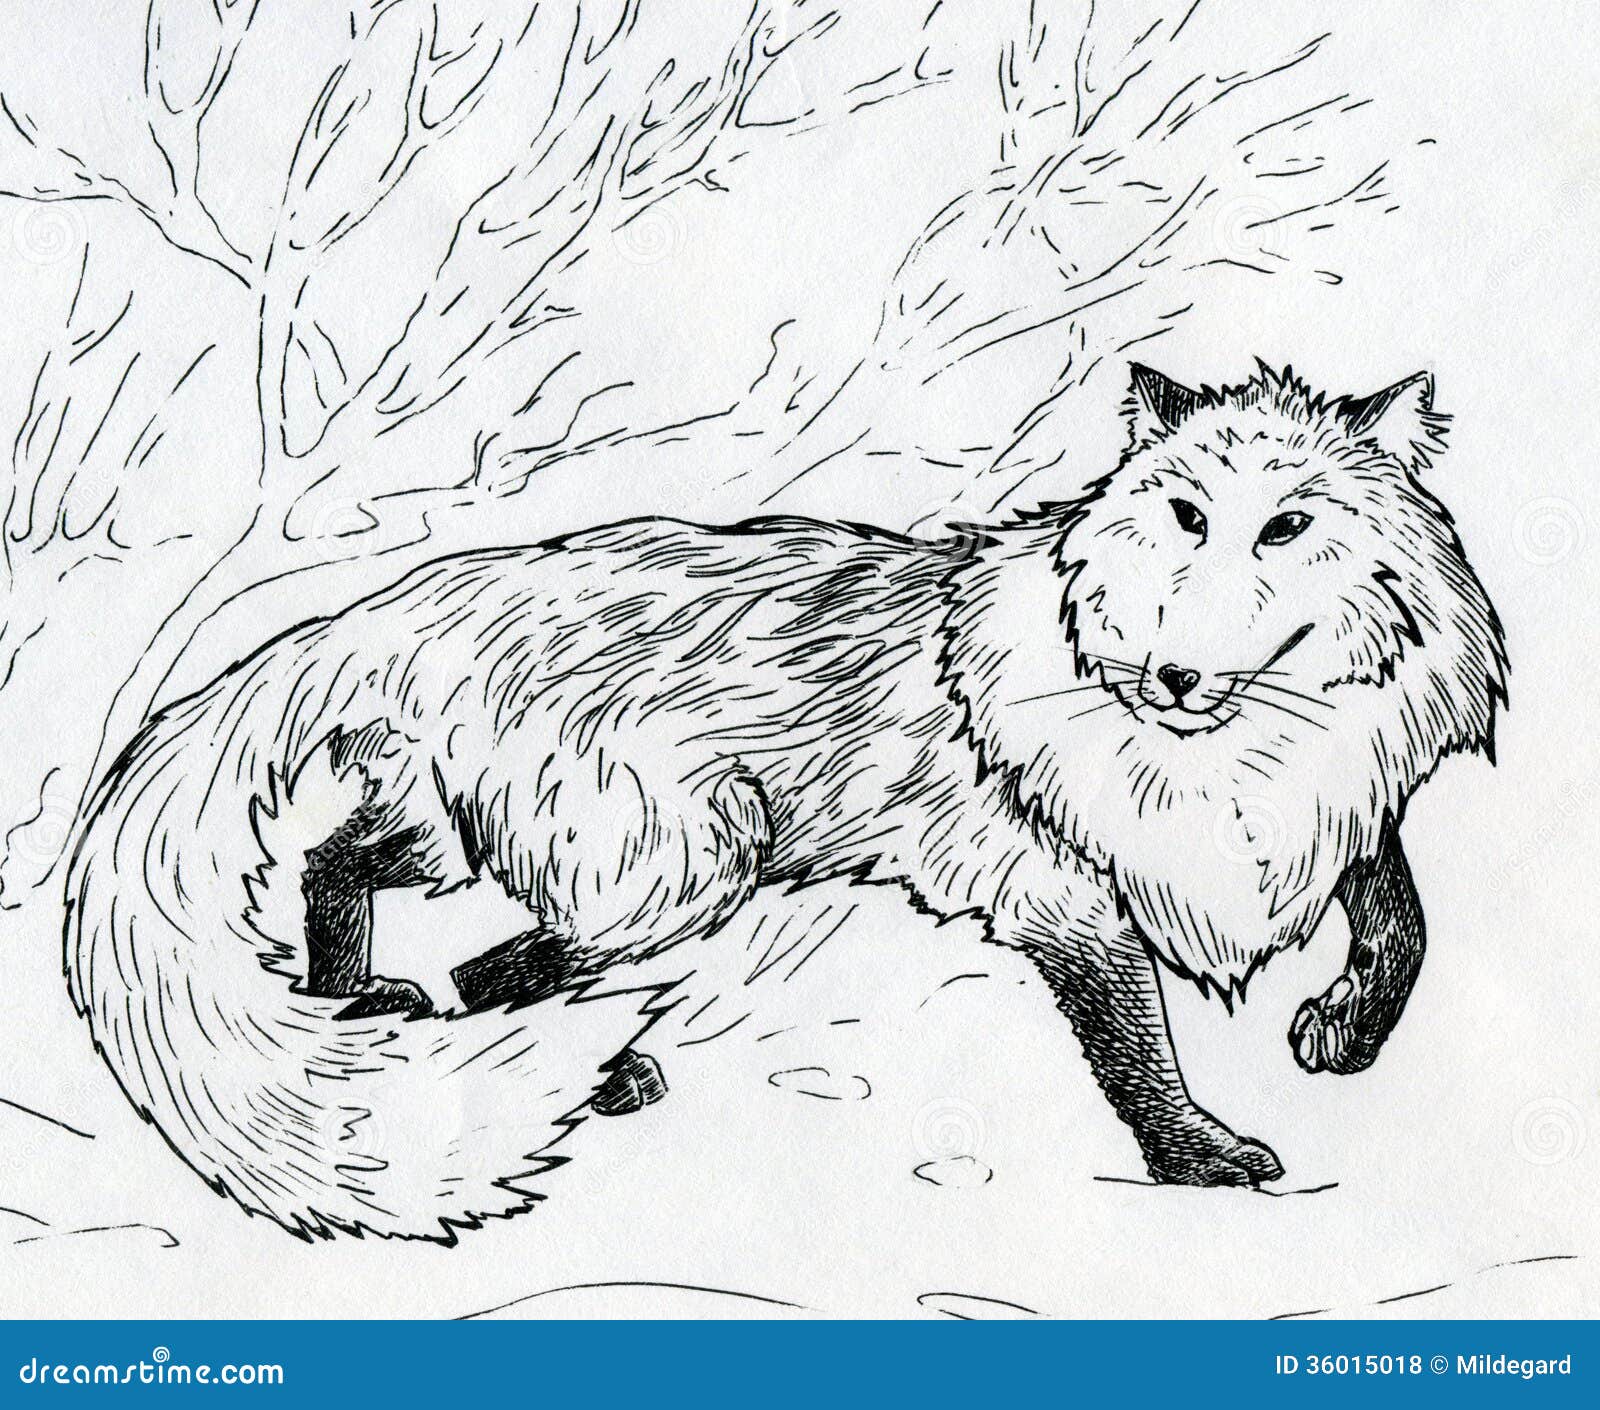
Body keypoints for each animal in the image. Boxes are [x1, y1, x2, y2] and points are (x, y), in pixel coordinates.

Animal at [64, 362, 1507, 1240]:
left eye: (1287, 527)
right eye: (1186, 516)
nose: (1170, 674)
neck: (1245, 763)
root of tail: (421, 597)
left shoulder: (1334, 815)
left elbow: (1405, 923)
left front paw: (1344, 1031)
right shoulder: (1067, 896)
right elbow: (1141, 1053)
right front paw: (1198, 1157)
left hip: (542, 851)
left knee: (378, 891)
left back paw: (379, 1005)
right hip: (692, 859)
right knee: (488, 955)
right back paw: (487, 1038)